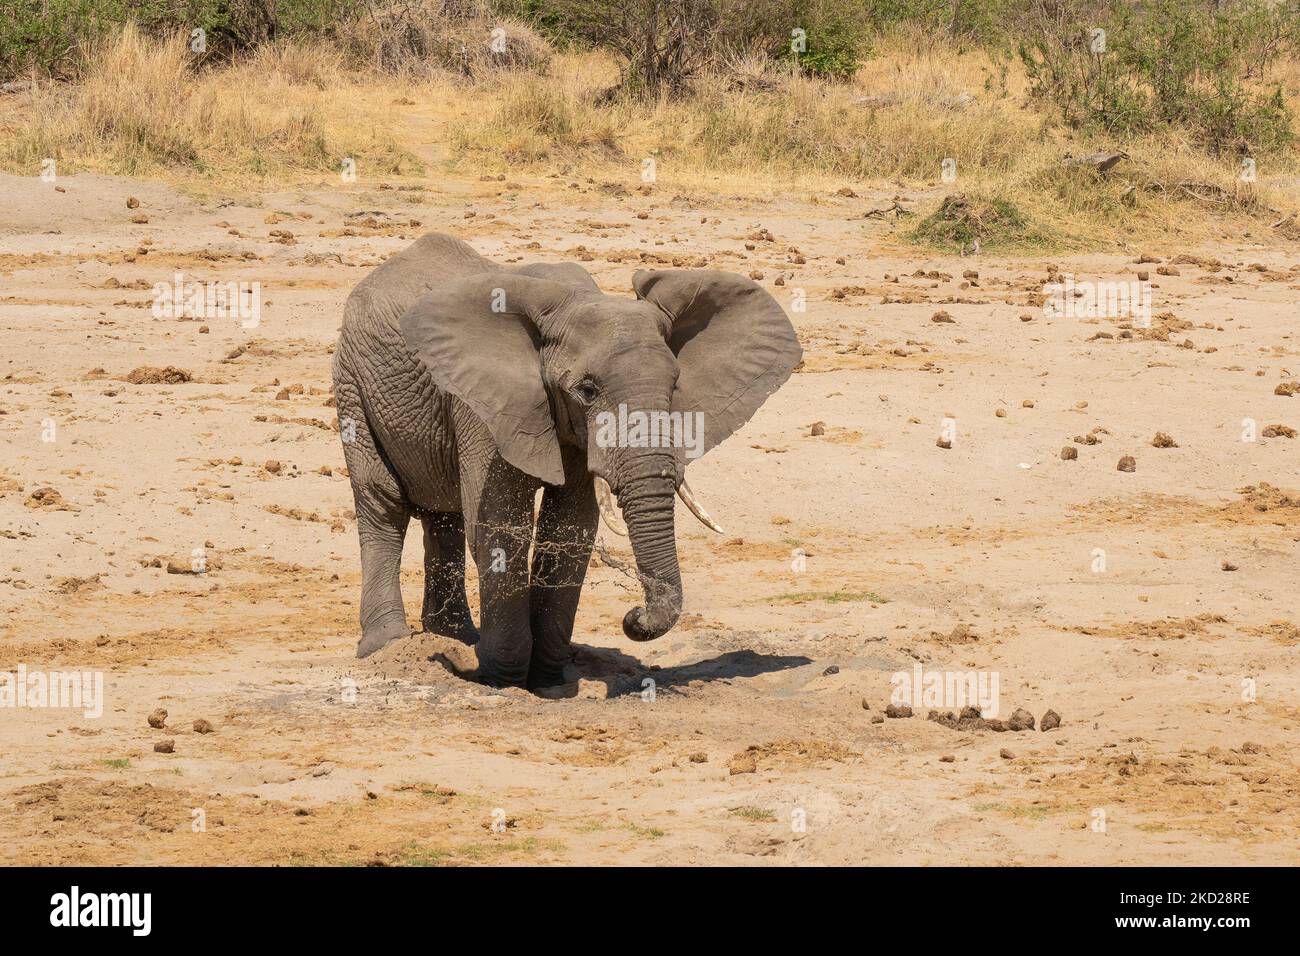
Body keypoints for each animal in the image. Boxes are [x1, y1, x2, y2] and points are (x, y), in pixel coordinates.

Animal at [331, 232, 801, 690]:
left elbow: (570, 527)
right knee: (383, 505)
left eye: (674, 386)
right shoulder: (486, 406)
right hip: (352, 384)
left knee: (443, 517)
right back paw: (389, 646)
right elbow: (502, 526)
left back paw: (455, 640)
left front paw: (547, 681)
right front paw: (502, 679)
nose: (633, 617)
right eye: (587, 391)